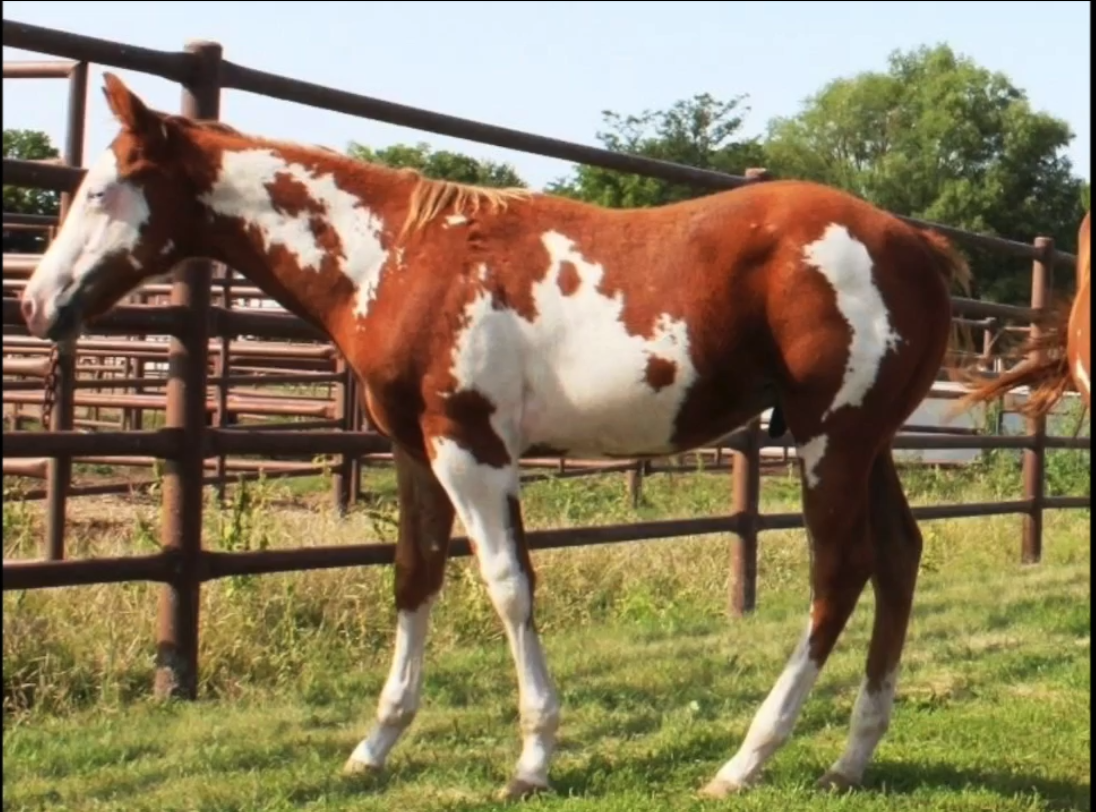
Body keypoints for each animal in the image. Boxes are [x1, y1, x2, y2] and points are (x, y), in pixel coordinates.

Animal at [20, 74, 972, 801]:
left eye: (99, 191)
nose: (35, 304)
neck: (395, 257)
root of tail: (914, 244)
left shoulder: (469, 446)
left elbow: (509, 587)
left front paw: (533, 758)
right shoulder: (414, 451)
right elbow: (413, 577)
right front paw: (374, 747)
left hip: (828, 438)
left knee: (839, 571)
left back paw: (746, 759)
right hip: (865, 443)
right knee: (899, 557)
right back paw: (851, 758)